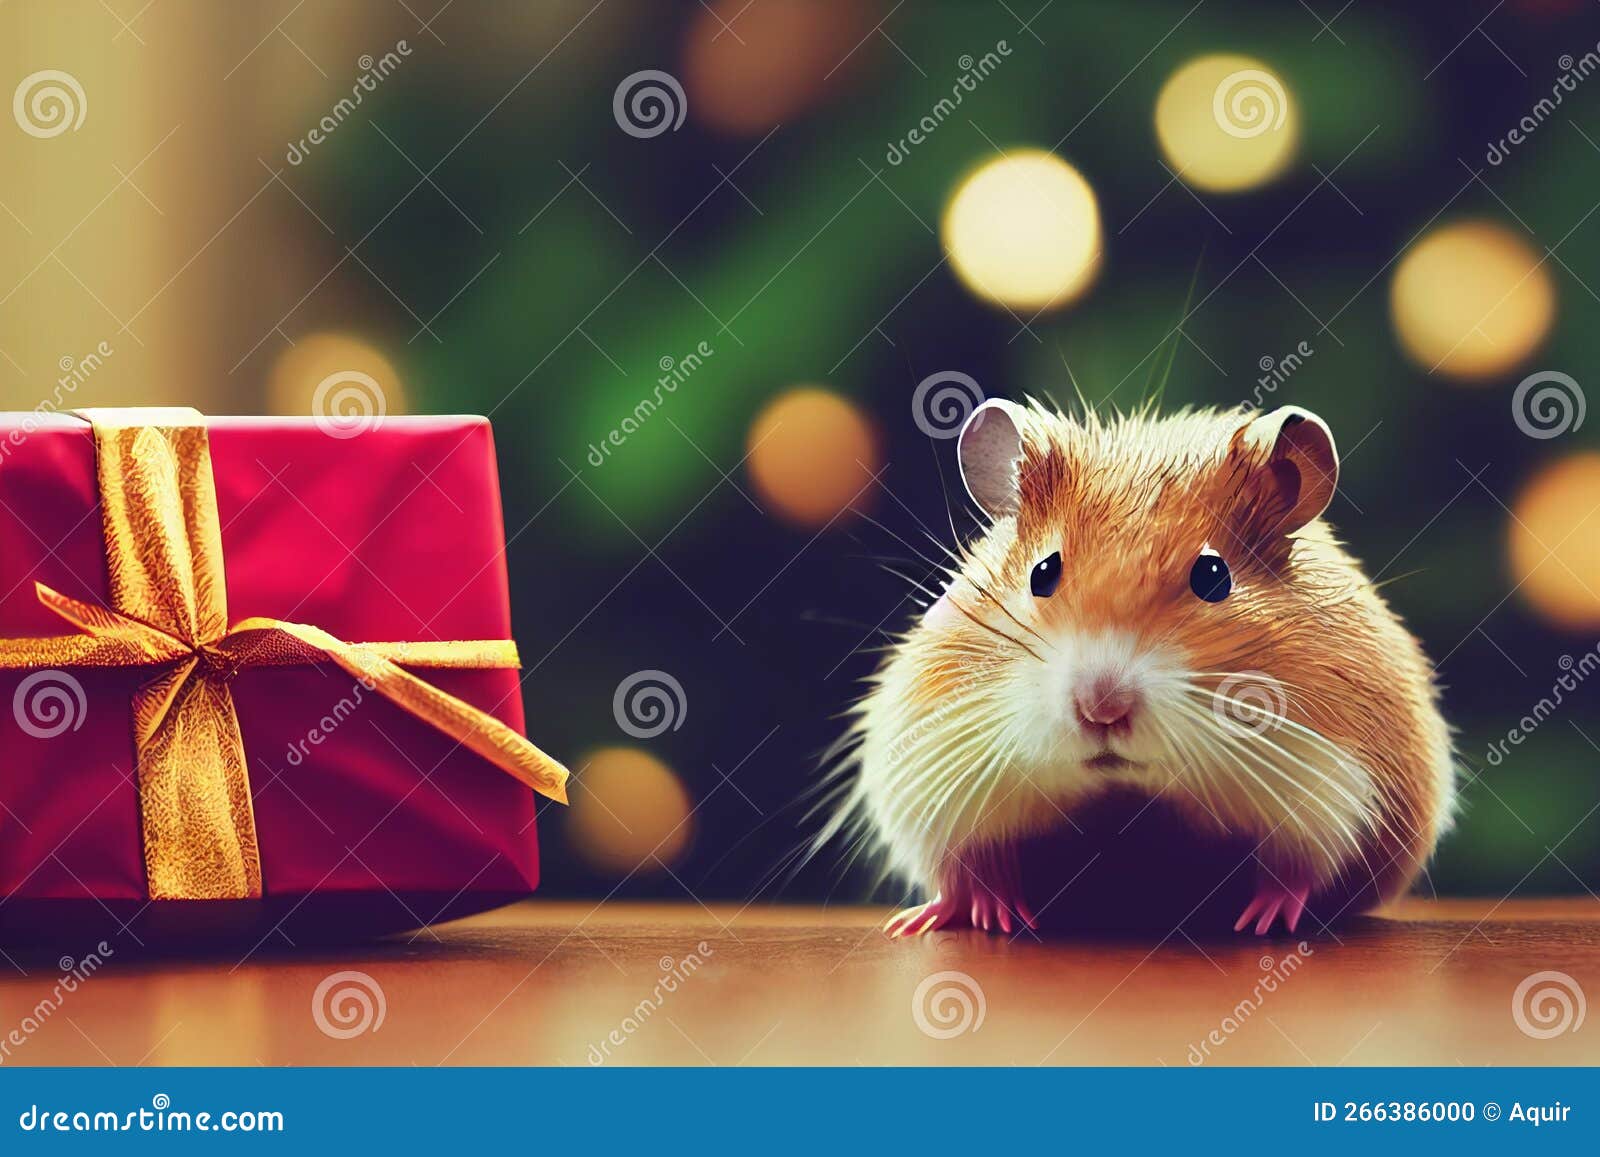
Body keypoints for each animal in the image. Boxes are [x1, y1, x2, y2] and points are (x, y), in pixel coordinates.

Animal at [830, 399, 1455, 937]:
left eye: (1213, 576)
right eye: (1042, 572)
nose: (1100, 708)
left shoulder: (1334, 782)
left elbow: (1298, 866)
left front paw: (1263, 921)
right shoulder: (932, 767)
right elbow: (964, 865)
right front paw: (982, 916)